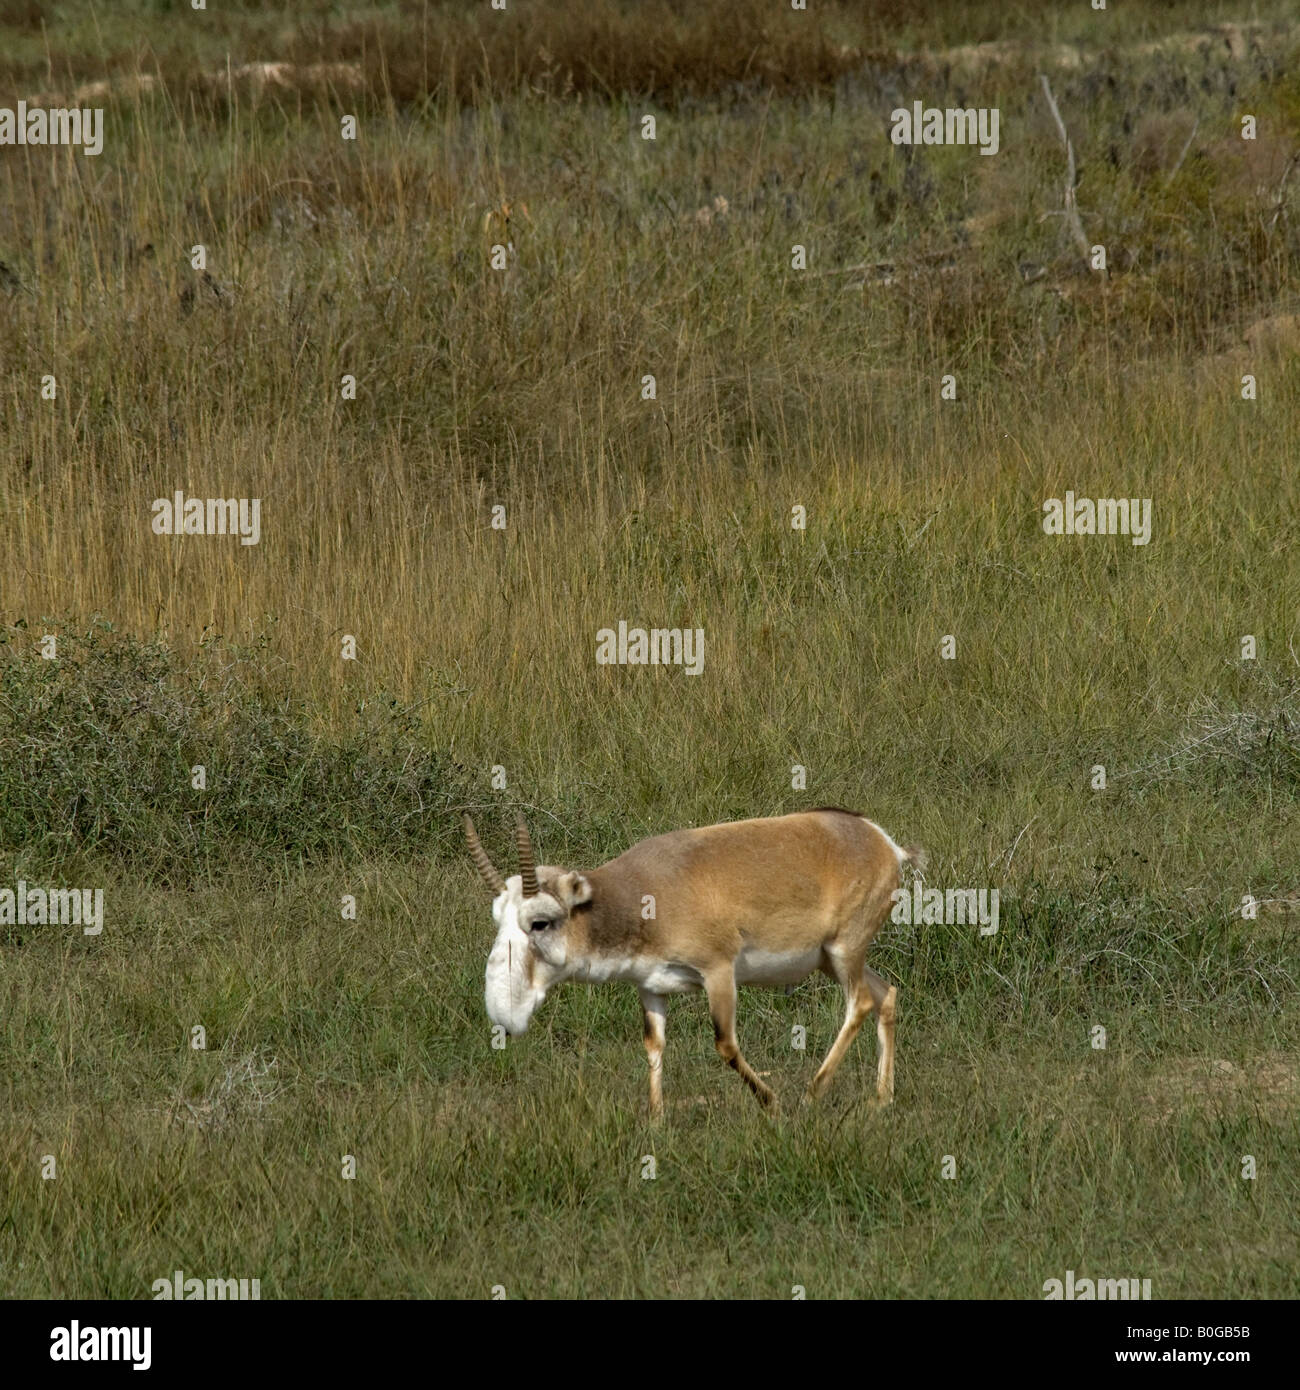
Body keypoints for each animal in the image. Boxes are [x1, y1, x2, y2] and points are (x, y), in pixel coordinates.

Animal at [465, 808, 923, 1117]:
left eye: (540, 921)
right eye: (497, 917)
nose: (504, 1013)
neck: (648, 892)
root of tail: (880, 841)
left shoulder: (718, 974)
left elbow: (725, 1044)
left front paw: (772, 1102)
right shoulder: (650, 988)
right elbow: (654, 1045)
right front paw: (656, 1119)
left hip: (845, 953)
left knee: (860, 1003)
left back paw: (813, 1092)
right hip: (832, 960)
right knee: (887, 994)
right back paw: (881, 1098)